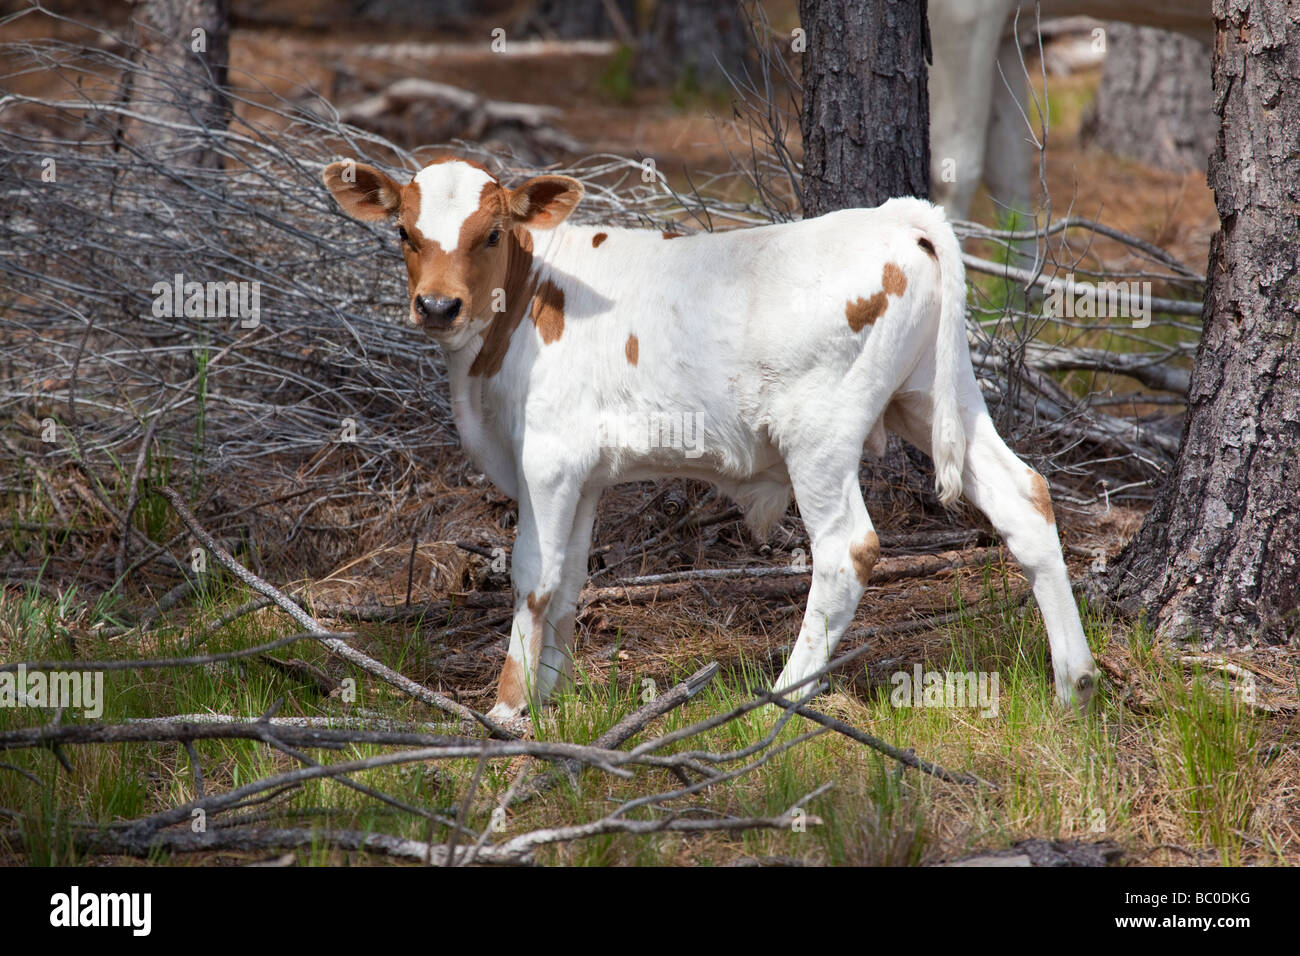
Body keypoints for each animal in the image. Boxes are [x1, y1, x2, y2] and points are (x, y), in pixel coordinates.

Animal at [322, 156, 1100, 723]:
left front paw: (509, 710)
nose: (437, 306)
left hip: (819, 436)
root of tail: (897, 217)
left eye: (489, 233)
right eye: (404, 233)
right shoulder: (588, 474)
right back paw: (1075, 684)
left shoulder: (548, 456)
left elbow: (533, 577)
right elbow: (570, 580)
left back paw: (784, 695)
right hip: (936, 396)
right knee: (1026, 498)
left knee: (848, 549)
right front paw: (551, 698)